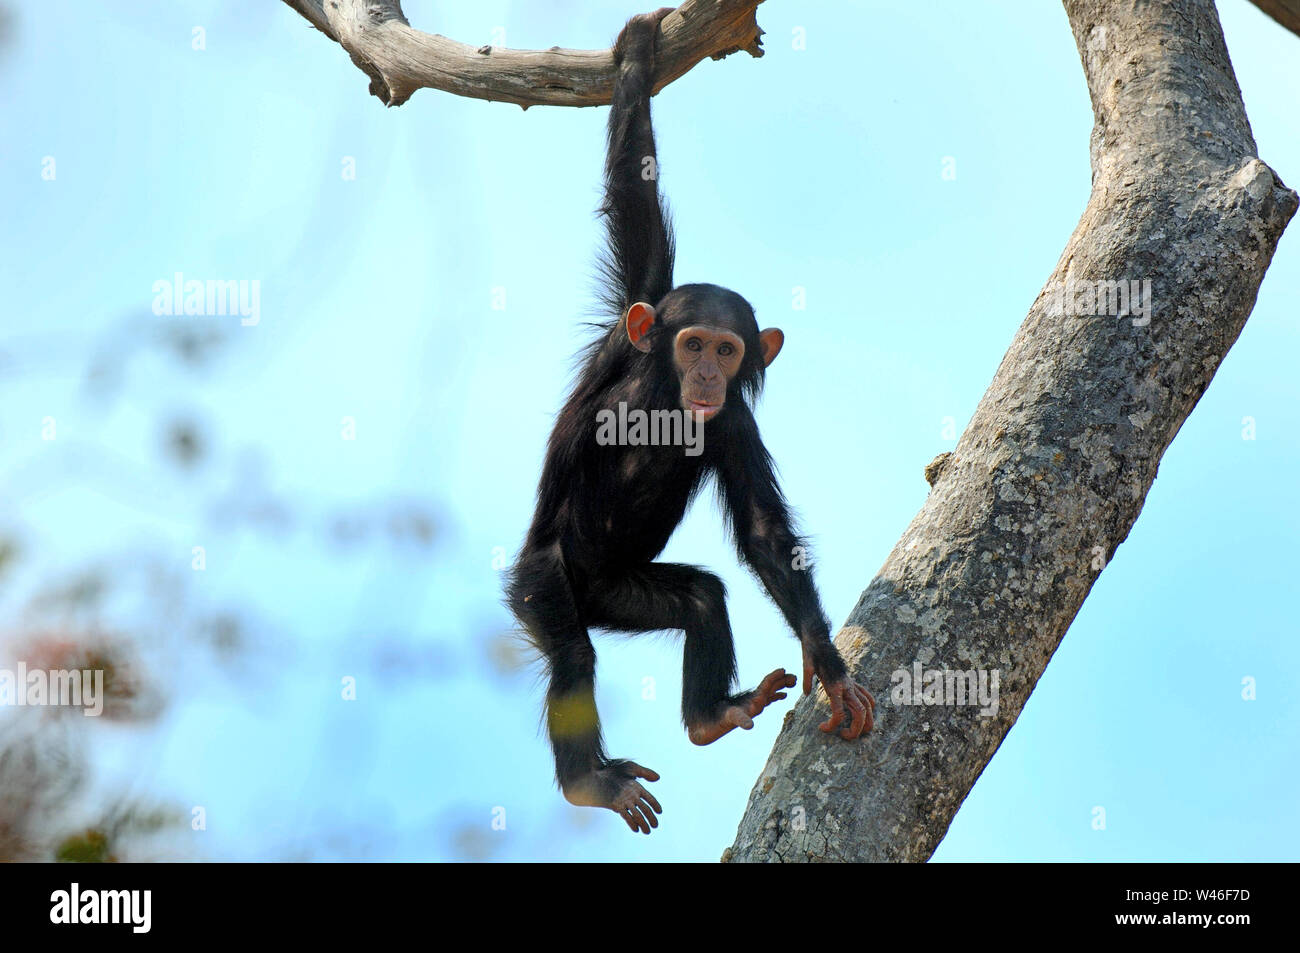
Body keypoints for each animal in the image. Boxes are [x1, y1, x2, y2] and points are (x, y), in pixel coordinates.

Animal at [506, 8, 873, 835]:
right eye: (693, 343)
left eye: (726, 348)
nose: (707, 372)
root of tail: (591, 590)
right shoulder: (630, 357)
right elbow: (634, 211)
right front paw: (637, 54)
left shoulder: (732, 420)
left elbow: (766, 534)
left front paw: (829, 662)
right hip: (544, 584)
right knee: (573, 654)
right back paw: (589, 781)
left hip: (622, 593)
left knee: (702, 597)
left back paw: (711, 715)